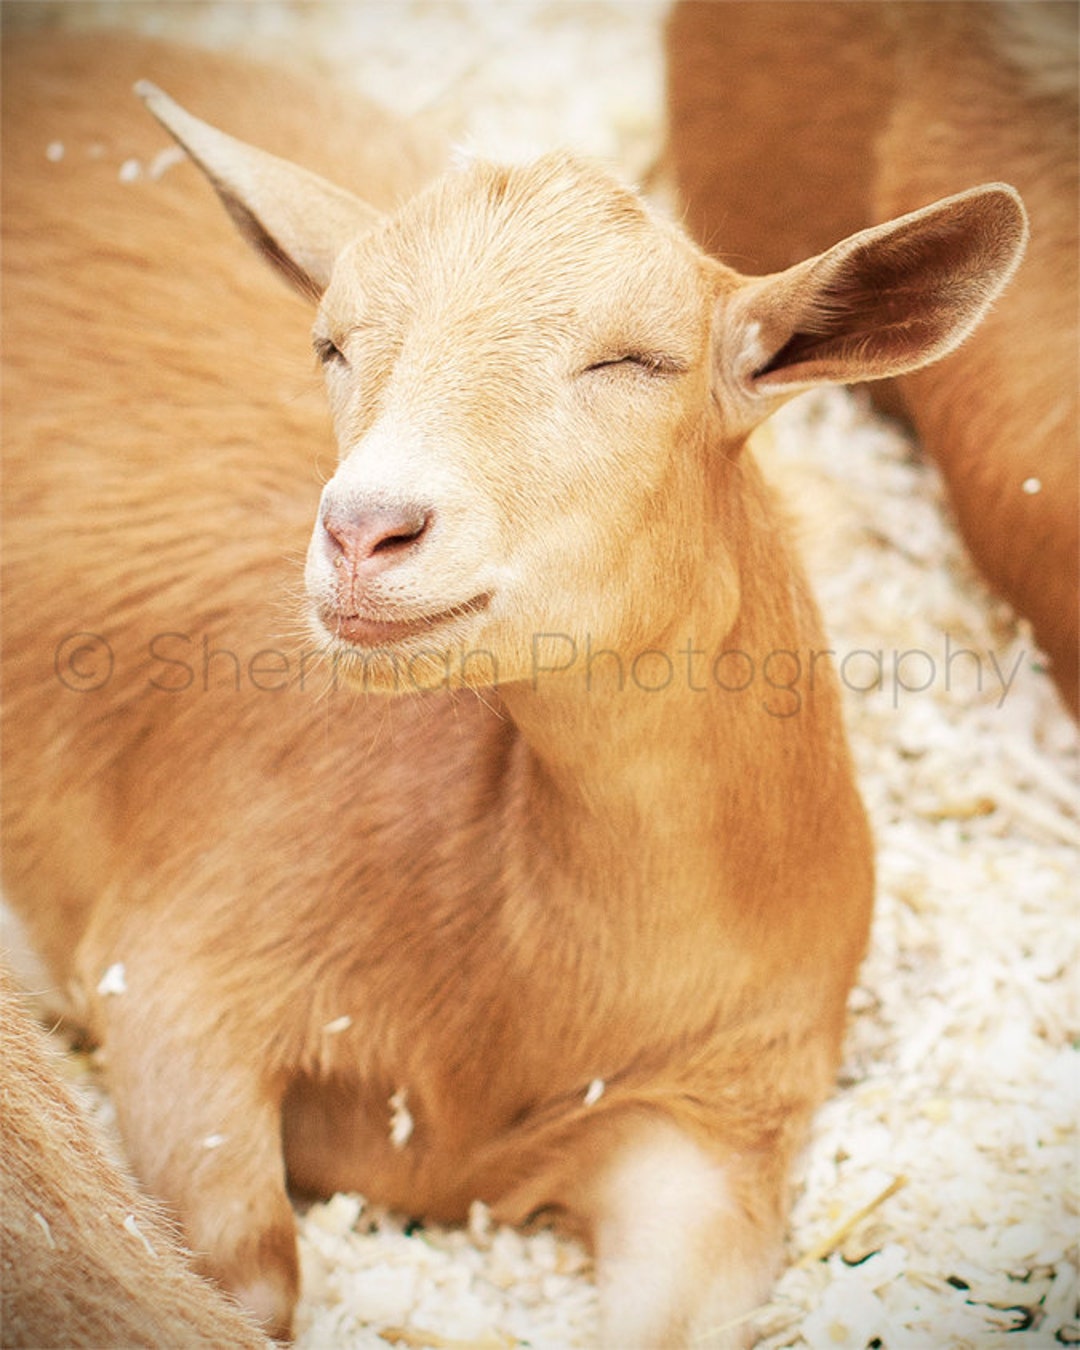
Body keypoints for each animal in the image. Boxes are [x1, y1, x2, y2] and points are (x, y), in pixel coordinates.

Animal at [1, 32, 1025, 1346]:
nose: (364, 529)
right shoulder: (181, 976)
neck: (518, 970)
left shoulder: (726, 1111)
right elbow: (249, 1275)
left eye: (635, 361)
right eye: (331, 345)